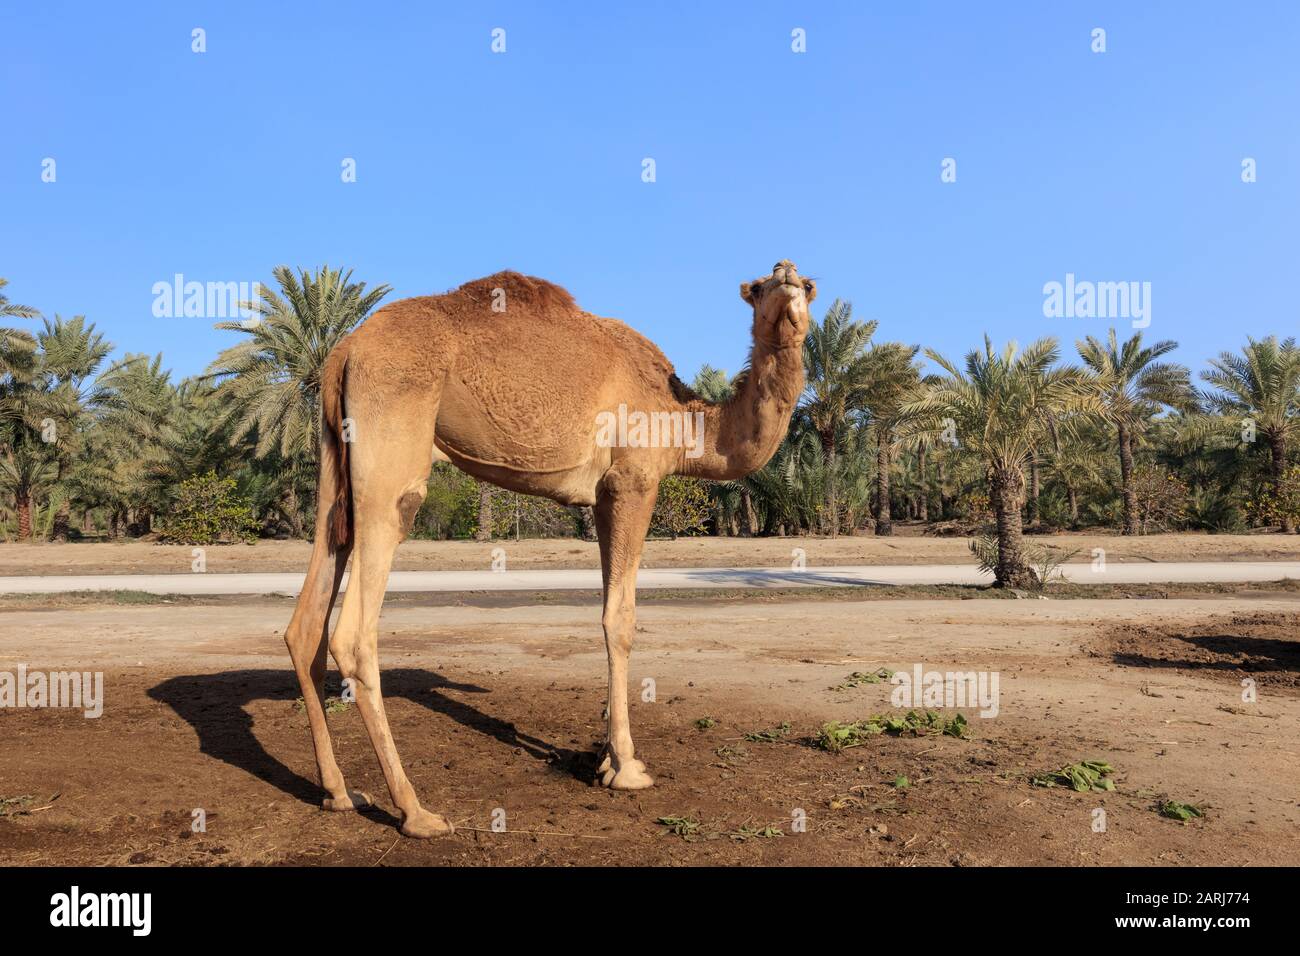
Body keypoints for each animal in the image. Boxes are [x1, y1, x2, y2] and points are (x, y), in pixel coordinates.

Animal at [283, 260, 816, 837]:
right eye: (759, 288)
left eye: (809, 286)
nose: (787, 273)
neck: (682, 421)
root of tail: (344, 350)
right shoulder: (633, 480)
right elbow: (620, 620)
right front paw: (627, 768)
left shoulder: (603, 496)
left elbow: (608, 610)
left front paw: (605, 759)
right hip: (391, 453)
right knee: (355, 631)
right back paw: (415, 810)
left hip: (335, 466)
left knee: (306, 622)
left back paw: (338, 792)